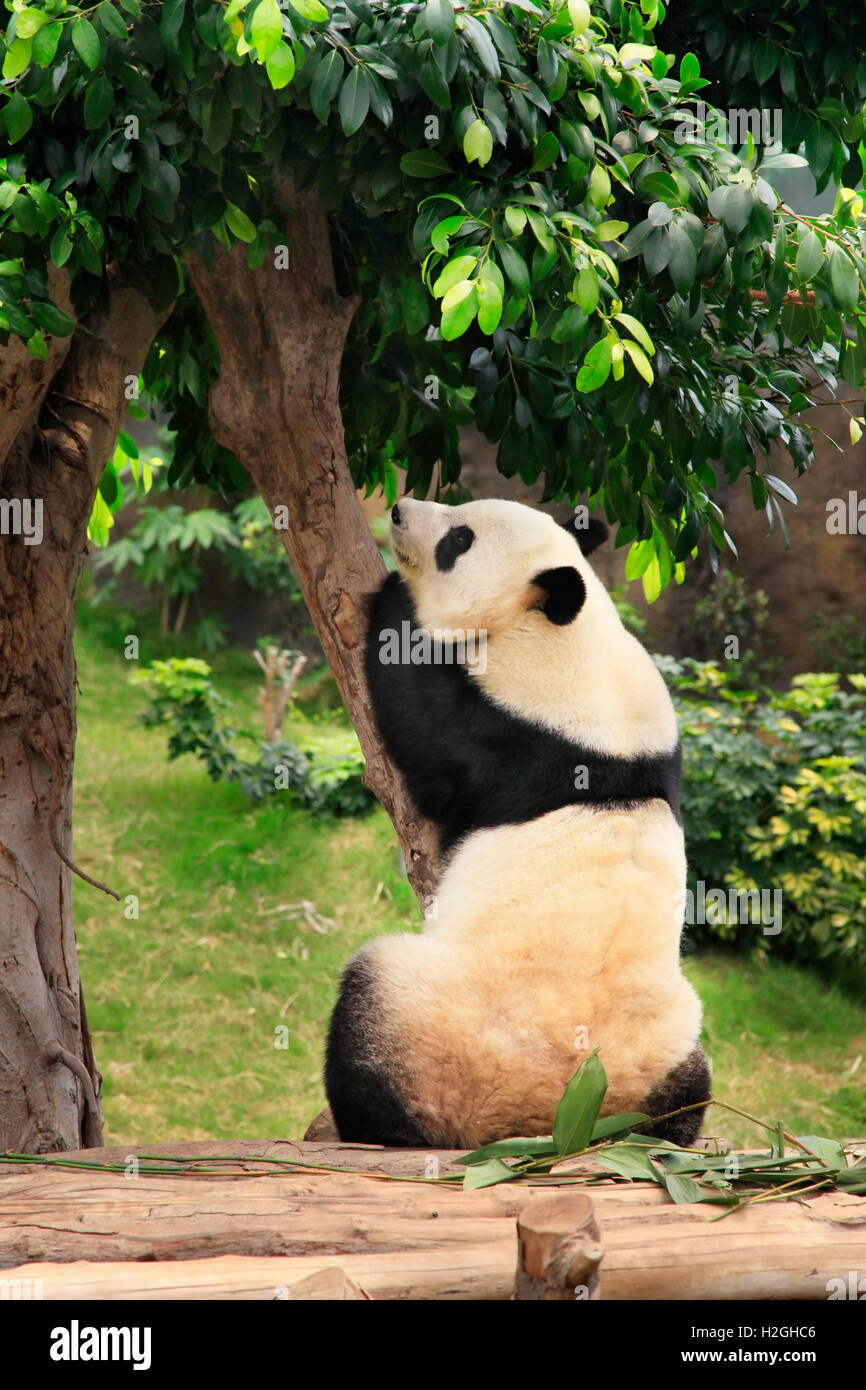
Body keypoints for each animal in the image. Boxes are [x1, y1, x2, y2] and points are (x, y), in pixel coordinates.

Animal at [324, 497, 710, 1150]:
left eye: (458, 540)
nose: (399, 510)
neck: (564, 632)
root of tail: (546, 1115)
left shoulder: (512, 730)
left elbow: (424, 725)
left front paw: (398, 597)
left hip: (430, 1014)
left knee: (370, 1005)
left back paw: (376, 1124)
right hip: (667, 1050)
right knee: (690, 1092)